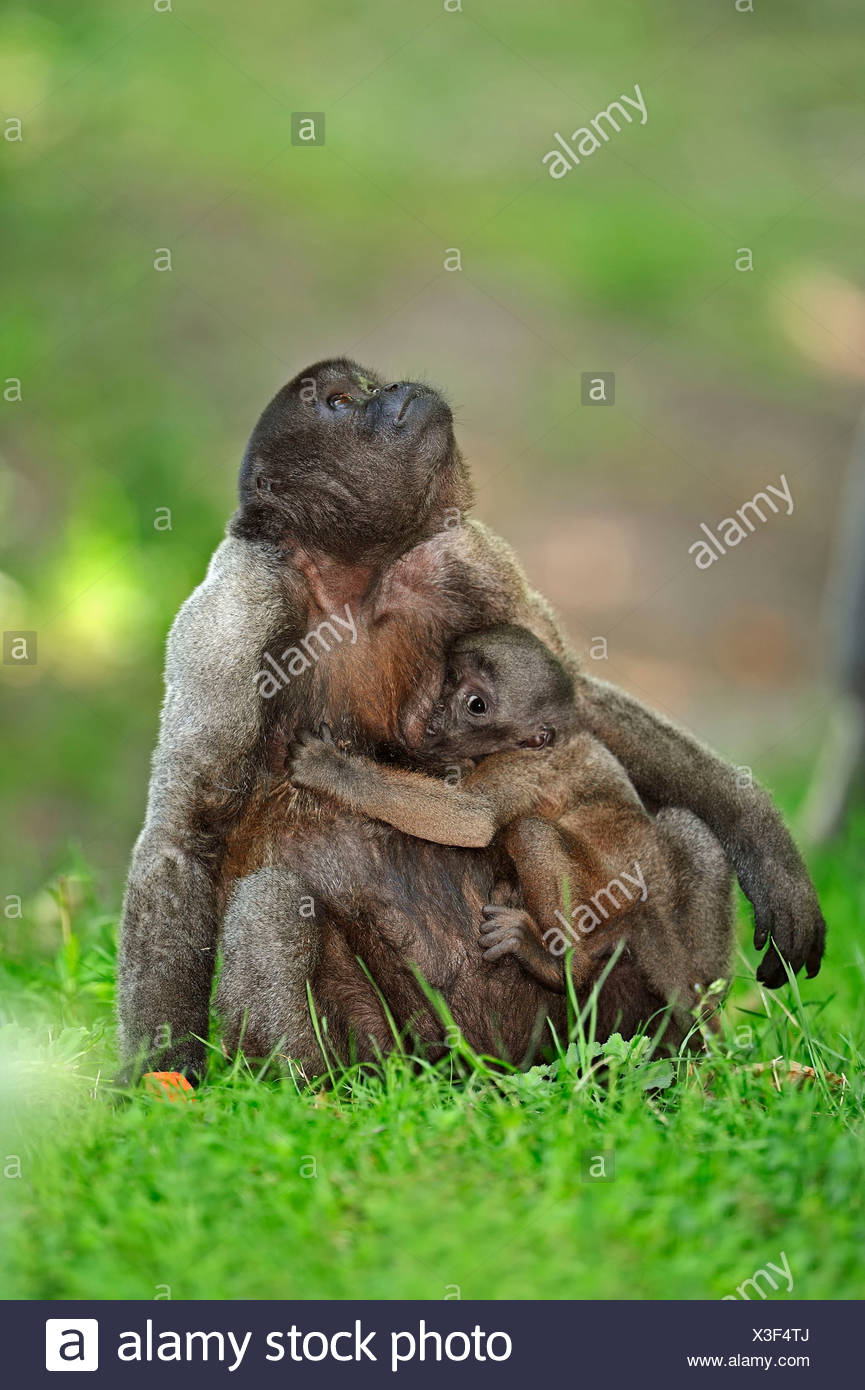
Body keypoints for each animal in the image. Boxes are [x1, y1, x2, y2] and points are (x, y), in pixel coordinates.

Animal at [286, 624, 734, 1031]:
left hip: (604, 889)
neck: (554, 738)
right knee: (688, 830)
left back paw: (557, 966)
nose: (436, 711)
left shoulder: (521, 765)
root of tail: (649, 898)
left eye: (475, 705)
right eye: (449, 680)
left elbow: (474, 818)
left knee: (531, 833)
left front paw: (333, 769)